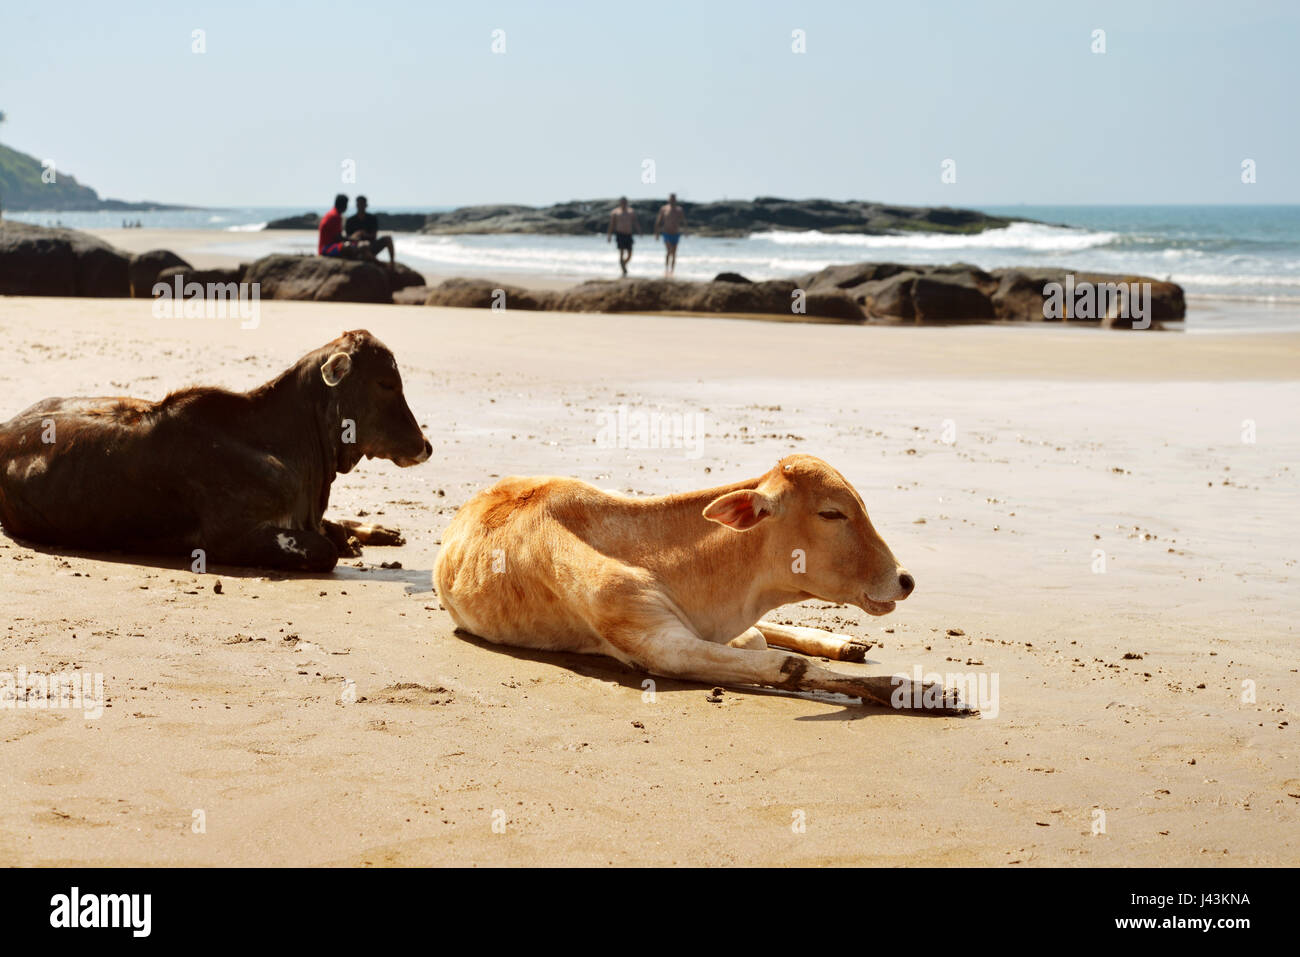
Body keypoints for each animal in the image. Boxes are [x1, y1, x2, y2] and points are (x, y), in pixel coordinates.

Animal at [434, 454, 969, 713]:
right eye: (832, 513)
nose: (904, 580)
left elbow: (765, 642)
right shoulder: (660, 646)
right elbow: (783, 664)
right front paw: (922, 693)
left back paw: (843, 642)